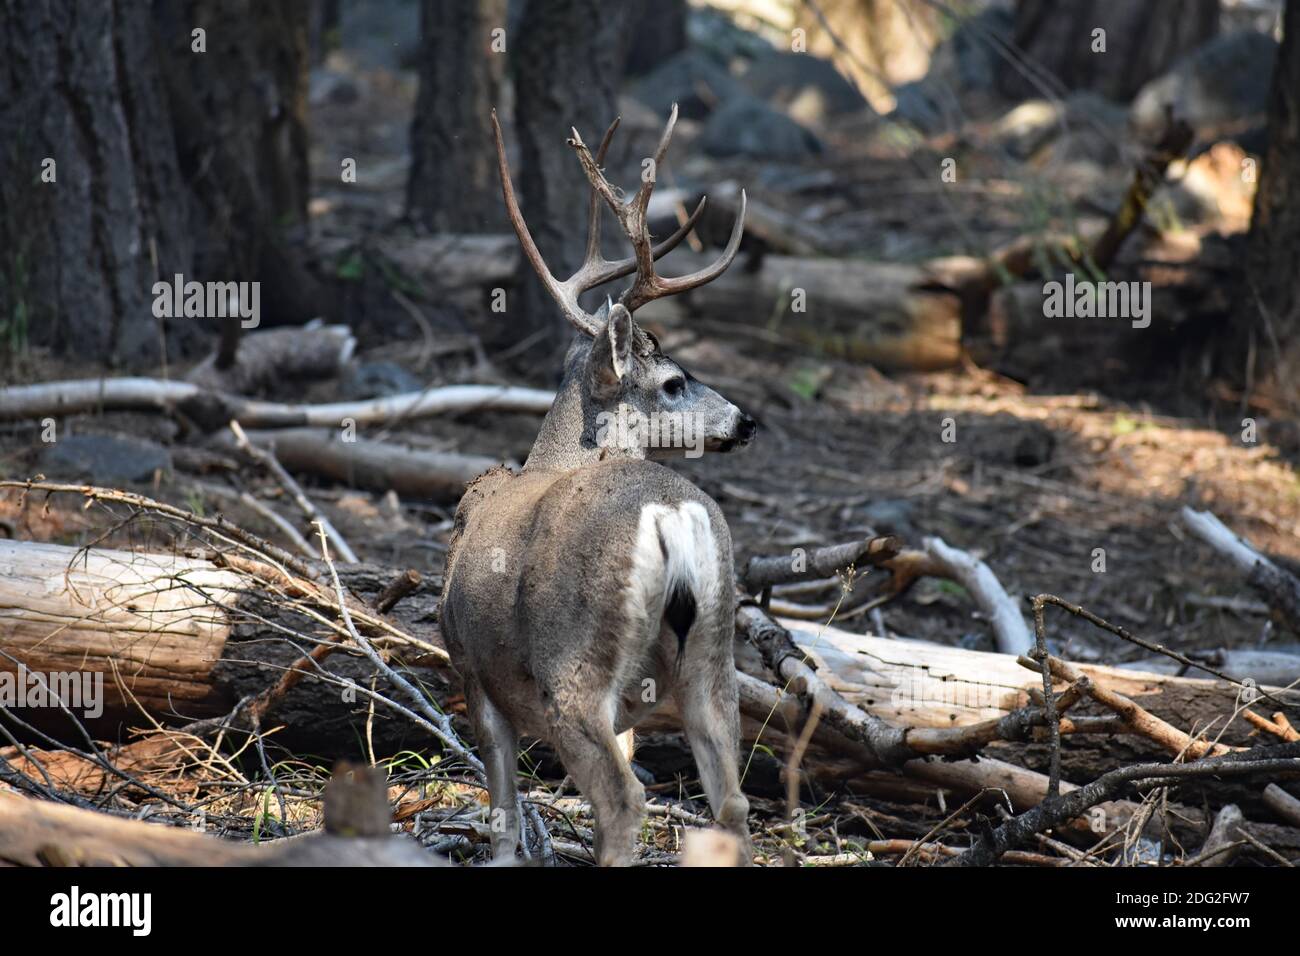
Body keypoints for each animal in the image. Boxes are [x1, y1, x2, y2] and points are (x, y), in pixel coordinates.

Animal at [438, 104, 757, 867]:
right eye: (673, 382)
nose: (745, 420)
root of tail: (670, 515)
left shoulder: (471, 670)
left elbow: (503, 813)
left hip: (571, 668)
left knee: (622, 801)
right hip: (714, 655)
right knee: (732, 802)